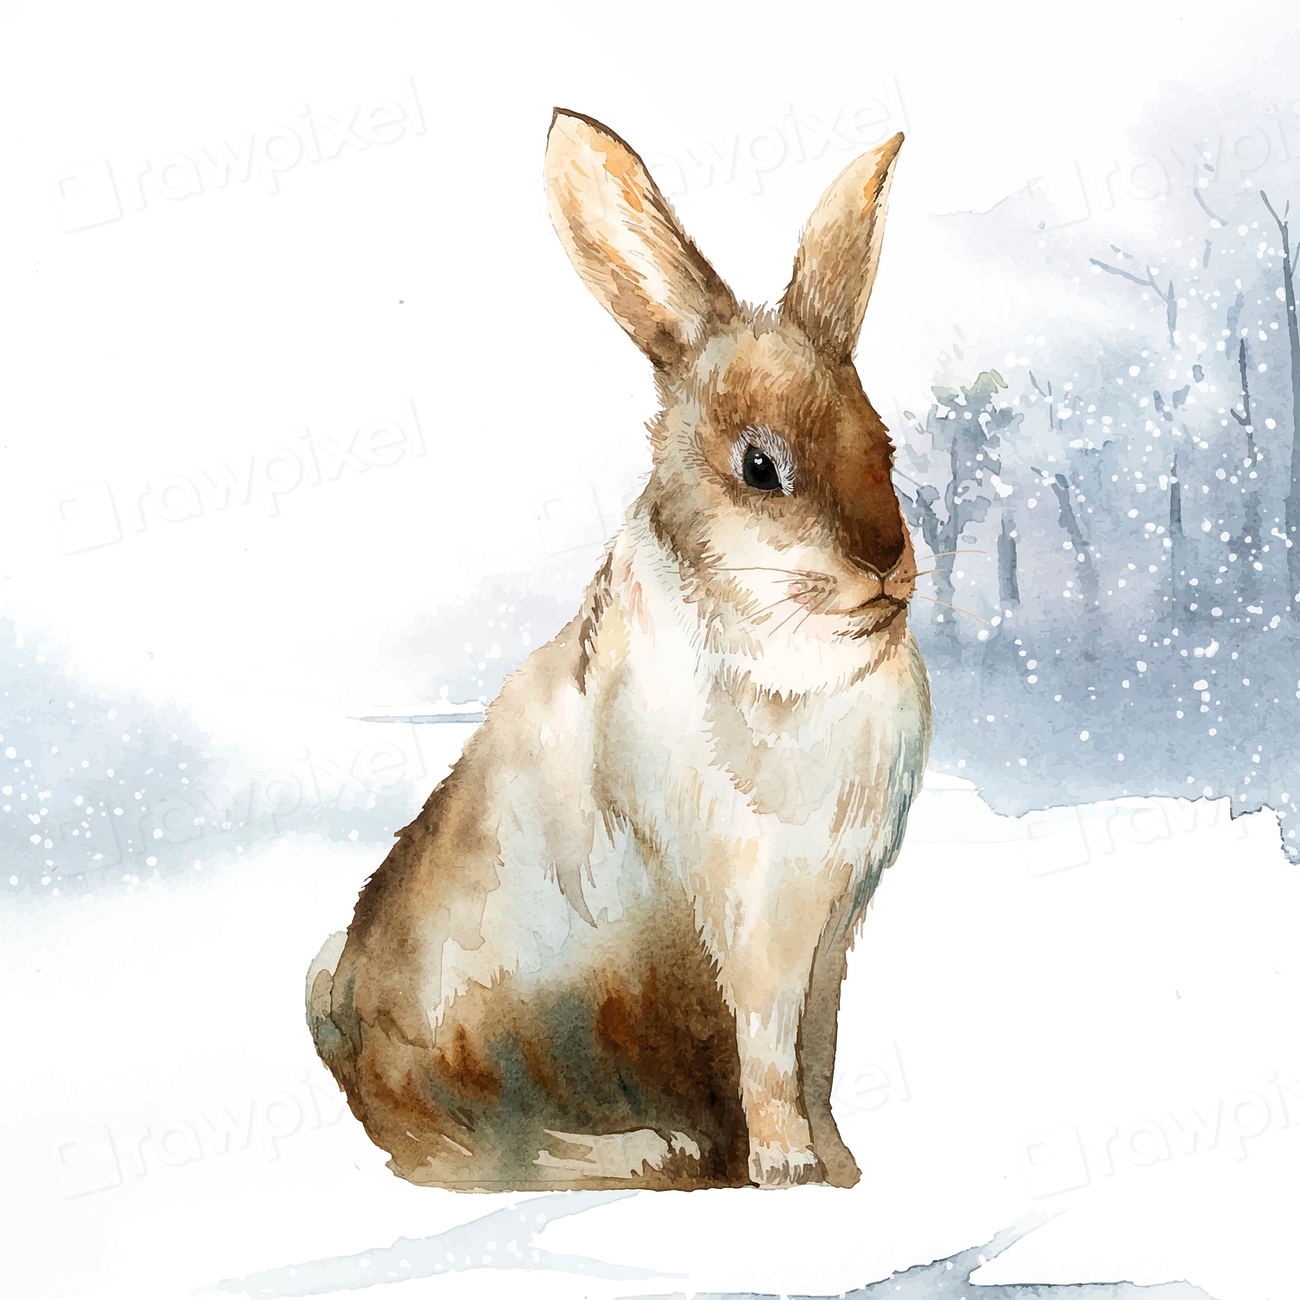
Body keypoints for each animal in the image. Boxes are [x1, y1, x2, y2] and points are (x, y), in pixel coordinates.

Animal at [307, 108, 931, 1192]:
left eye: (882, 442)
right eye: (759, 467)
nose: (890, 569)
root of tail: (350, 1059)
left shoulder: (830, 932)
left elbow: (815, 1059)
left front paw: (844, 1169)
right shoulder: (753, 921)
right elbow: (770, 1062)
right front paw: (789, 1171)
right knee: (488, 1152)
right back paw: (652, 1148)